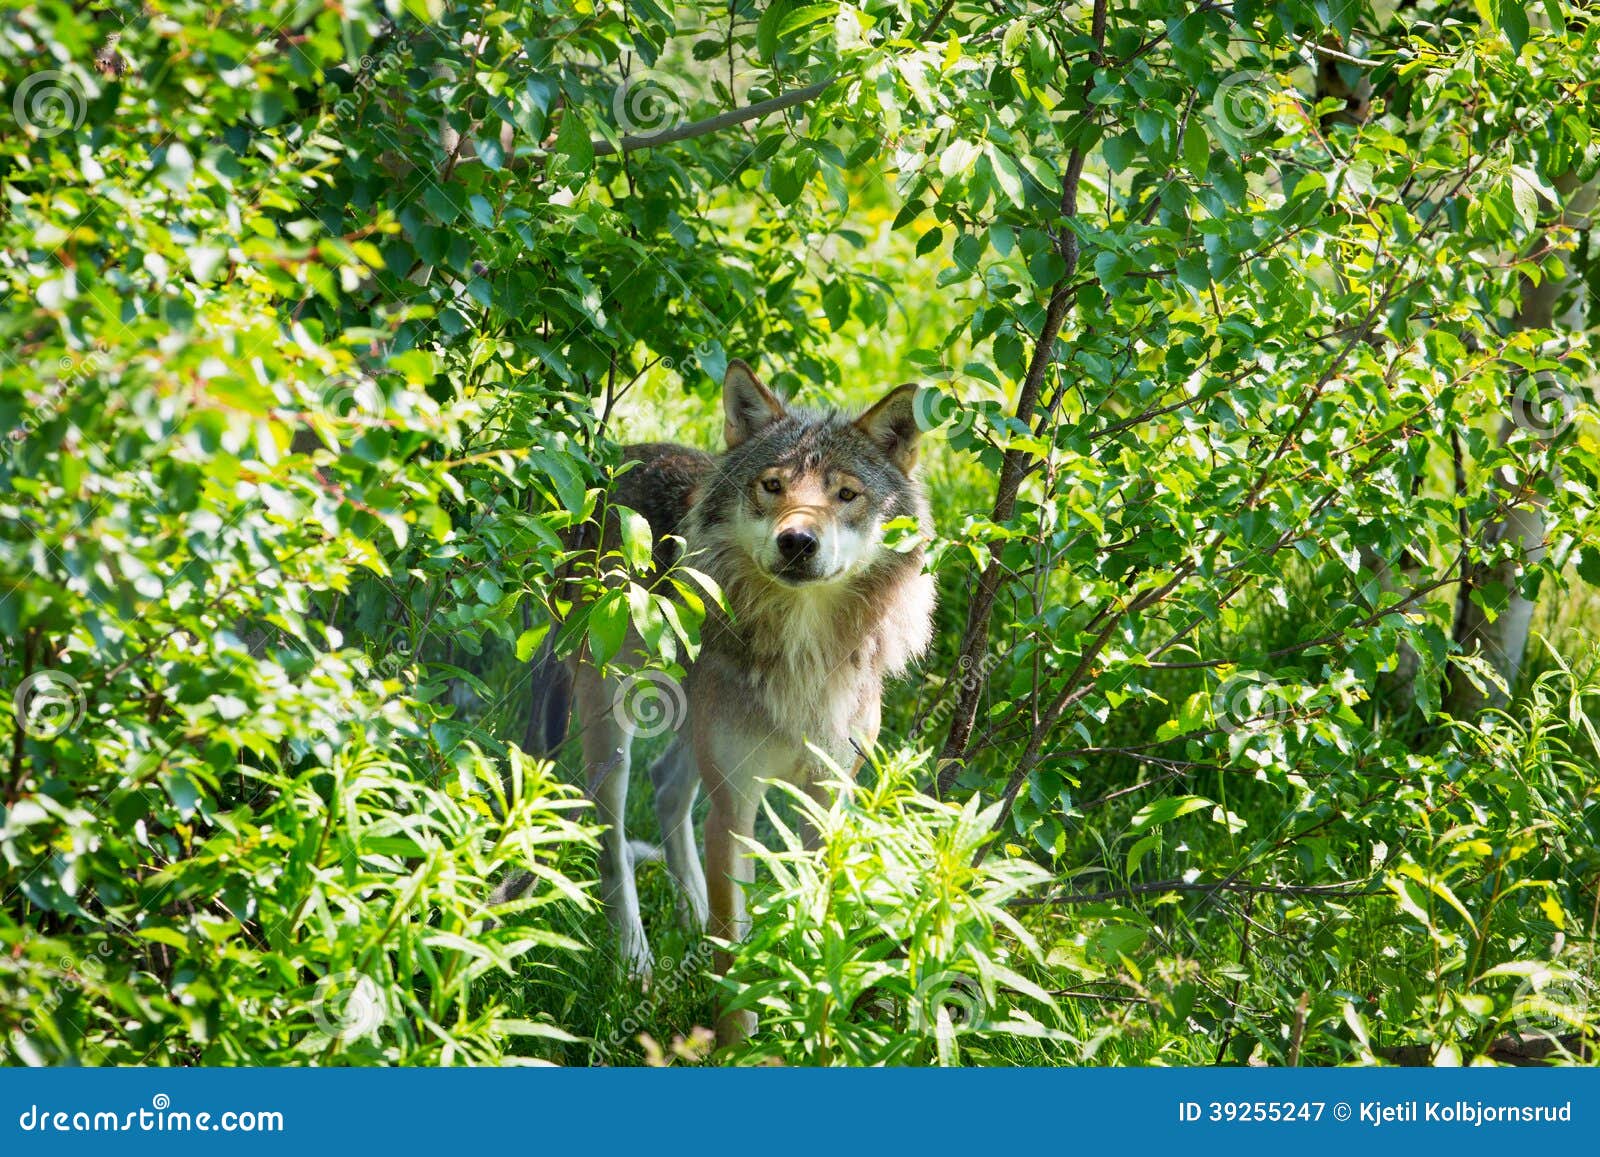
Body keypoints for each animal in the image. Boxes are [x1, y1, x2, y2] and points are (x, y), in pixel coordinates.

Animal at [521, 359, 935, 1045]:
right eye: (773, 485)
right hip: (615, 724)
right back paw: (637, 965)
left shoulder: (826, 804)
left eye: (846, 495)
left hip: (691, 726)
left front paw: (814, 1027)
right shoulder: (736, 808)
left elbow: (811, 927)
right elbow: (735, 950)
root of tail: (610, 462)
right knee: (613, 837)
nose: (798, 541)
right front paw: (741, 1044)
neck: (801, 651)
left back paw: (687, 921)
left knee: (667, 787)